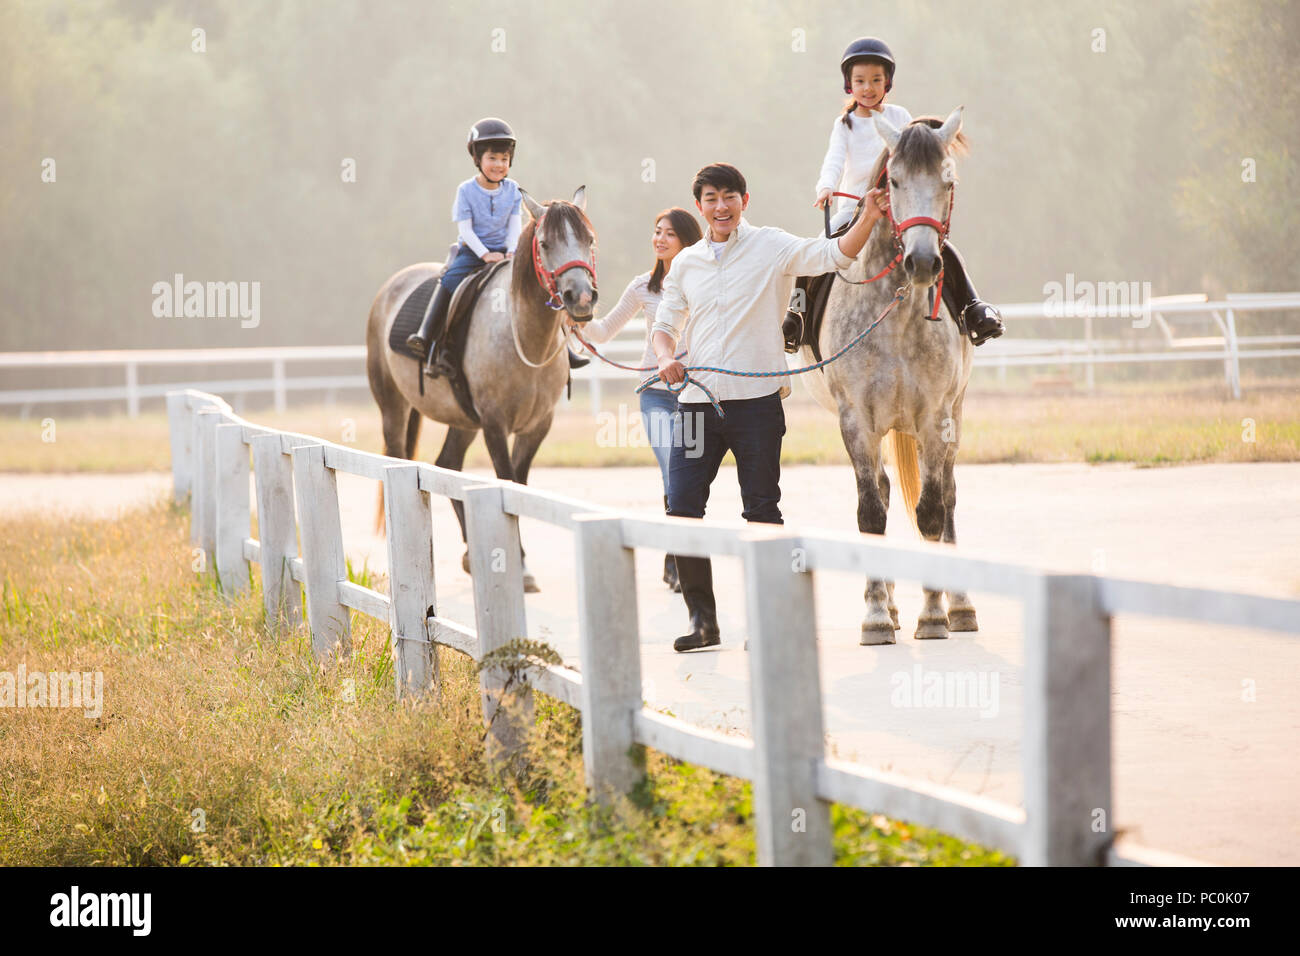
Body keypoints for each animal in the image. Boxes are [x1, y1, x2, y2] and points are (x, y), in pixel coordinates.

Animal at [365, 186, 597, 593]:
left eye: (589, 239)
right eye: (546, 243)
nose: (581, 298)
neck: (524, 337)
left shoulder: (538, 426)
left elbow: (519, 485)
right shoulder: (494, 423)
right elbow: (505, 482)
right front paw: (519, 562)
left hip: (464, 422)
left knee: (448, 464)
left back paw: (471, 555)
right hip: (394, 408)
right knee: (398, 456)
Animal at [799, 108, 979, 643]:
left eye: (947, 181)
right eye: (893, 181)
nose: (921, 262)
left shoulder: (936, 418)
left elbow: (932, 512)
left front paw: (934, 614)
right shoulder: (856, 419)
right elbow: (871, 510)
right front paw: (878, 615)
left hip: (954, 415)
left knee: (949, 498)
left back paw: (960, 607)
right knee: (880, 489)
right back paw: (891, 606)